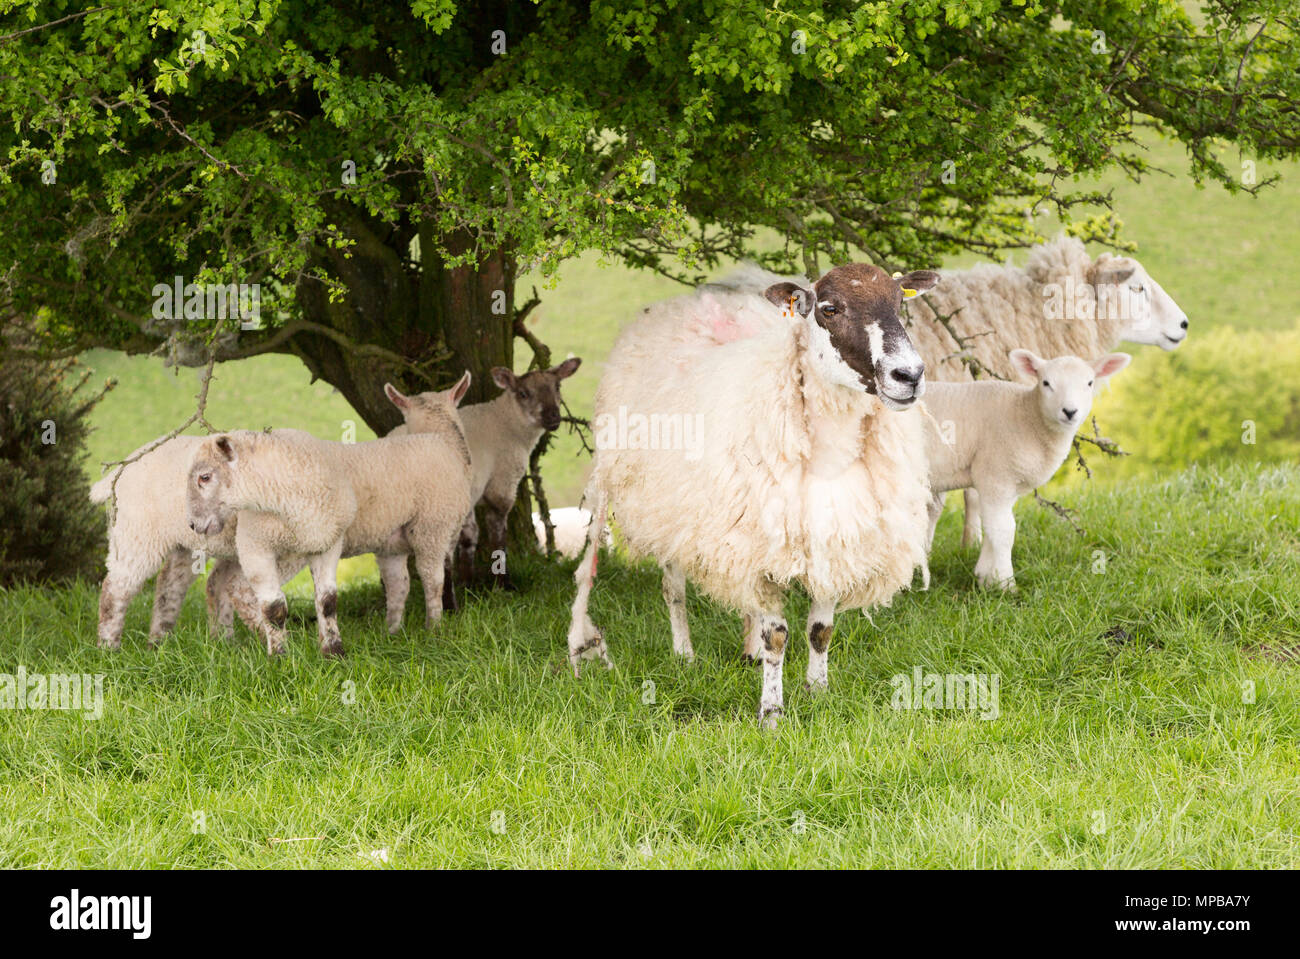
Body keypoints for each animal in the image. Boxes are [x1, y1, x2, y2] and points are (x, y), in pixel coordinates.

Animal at [185, 412, 472, 656]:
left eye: (205, 477)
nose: (193, 525)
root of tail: (437, 441)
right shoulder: (256, 547)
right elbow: (273, 607)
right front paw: (280, 656)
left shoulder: (327, 543)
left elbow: (327, 601)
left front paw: (333, 652)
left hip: (432, 527)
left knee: (430, 580)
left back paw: (431, 629)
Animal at [390, 357, 582, 591]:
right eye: (523, 393)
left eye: (558, 387)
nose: (553, 416)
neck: (506, 422)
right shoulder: (501, 485)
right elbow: (497, 536)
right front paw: (502, 584)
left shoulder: (471, 495)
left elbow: (470, 536)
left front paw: (467, 583)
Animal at [566, 262, 939, 726]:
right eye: (830, 309)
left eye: (899, 302)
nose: (909, 375)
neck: (829, 454)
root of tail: (694, 303)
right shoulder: (757, 545)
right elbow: (777, 635)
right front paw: (772, 714)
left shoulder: (834, 535)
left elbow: (820, 631)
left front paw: (818, 693)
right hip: (663, 502)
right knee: (671, 588)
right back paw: (680, 654)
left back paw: (748, 653)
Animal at [920, 349, 1132, 591]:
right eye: (1046, 383)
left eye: (1089, 383)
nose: (1070, 411)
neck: (1027, 416)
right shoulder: (996, 474)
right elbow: (1004, 530)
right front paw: (1006, 584)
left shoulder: (1008, 483)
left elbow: (992, 528)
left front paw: (985, 577)